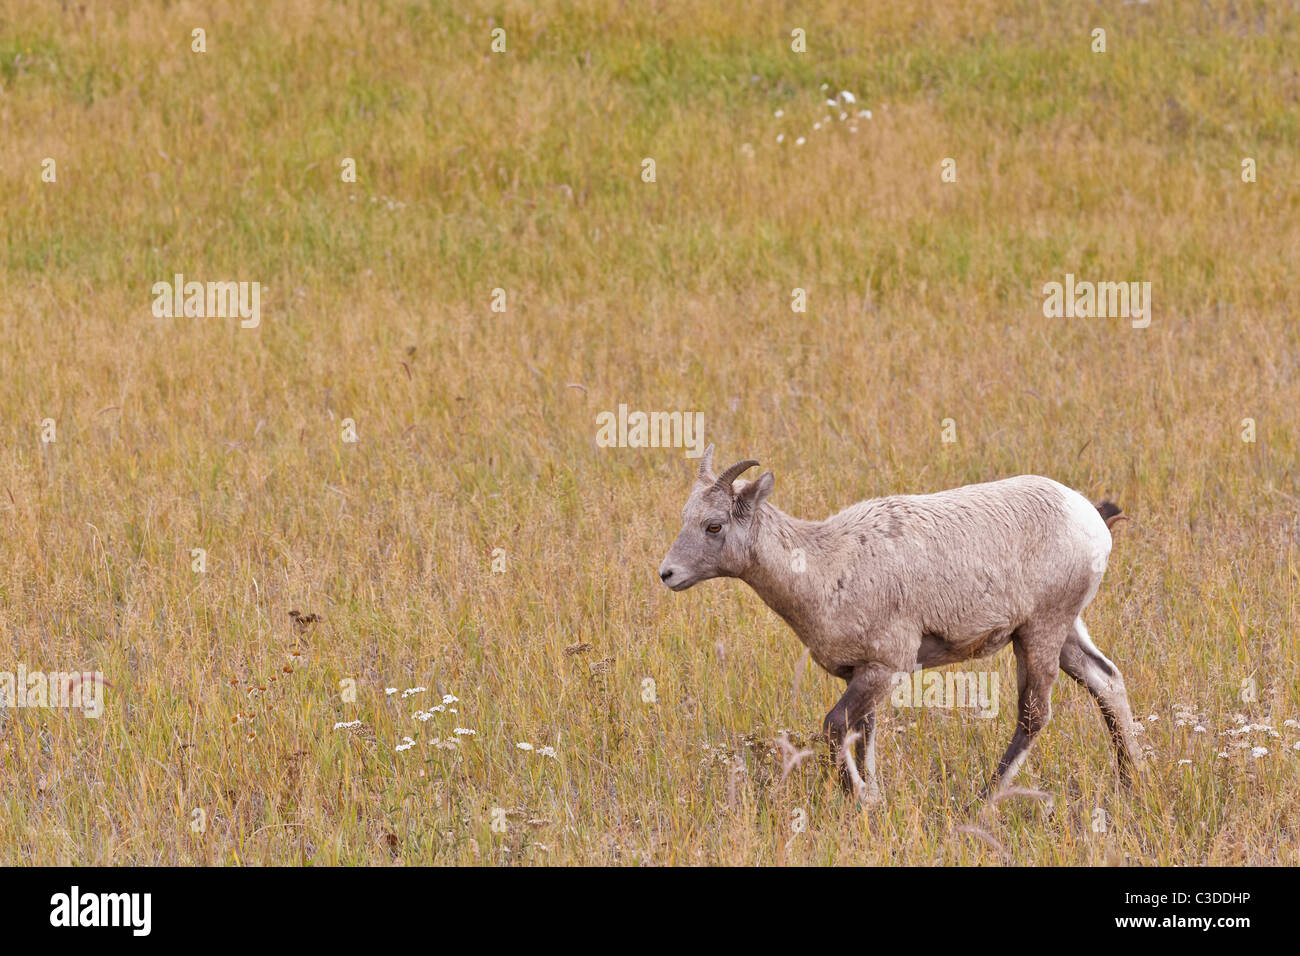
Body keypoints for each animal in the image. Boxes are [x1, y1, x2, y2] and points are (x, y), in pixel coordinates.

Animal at [658, 444, 1141, 799]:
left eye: (714, 526)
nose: (667, 574)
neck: (825, 567)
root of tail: (1089, 515)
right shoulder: (859, 674)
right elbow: (864, 737)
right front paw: (873, 793)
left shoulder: (885, 668)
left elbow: (835, 728)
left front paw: (860, 797)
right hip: (1063, 633)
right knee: (1107, 681)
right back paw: (1131, 781)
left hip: (1041, 631)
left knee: (1034, 715)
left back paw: (982, 800)